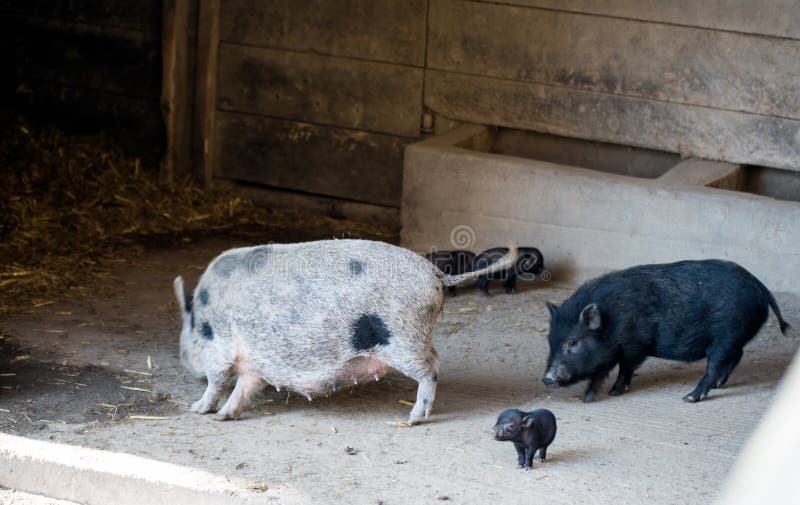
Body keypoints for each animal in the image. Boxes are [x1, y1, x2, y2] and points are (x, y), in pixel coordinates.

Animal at [174, 239, 517, 423]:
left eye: (189, 331)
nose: (183, 361)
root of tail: (436, 275)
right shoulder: (254, 364)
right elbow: (243, 387)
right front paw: (223, 416)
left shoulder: (218, 345)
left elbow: (217, 382)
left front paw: (197, 409)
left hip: (404, 338)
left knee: (432, 368)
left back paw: (413, 418)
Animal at [542, 260, 791, 403]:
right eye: (550, 341)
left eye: (572, 342)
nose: (547, 379)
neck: (612, 320)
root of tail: (760, 287)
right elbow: (601, 371)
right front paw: (588, 398)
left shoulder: (634, 346)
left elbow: (624, 368)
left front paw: (614, 392)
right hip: (733, 338)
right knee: (736, 356)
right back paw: (719, 385)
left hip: (725, 336)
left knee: (715, 365)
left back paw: (690, 397)